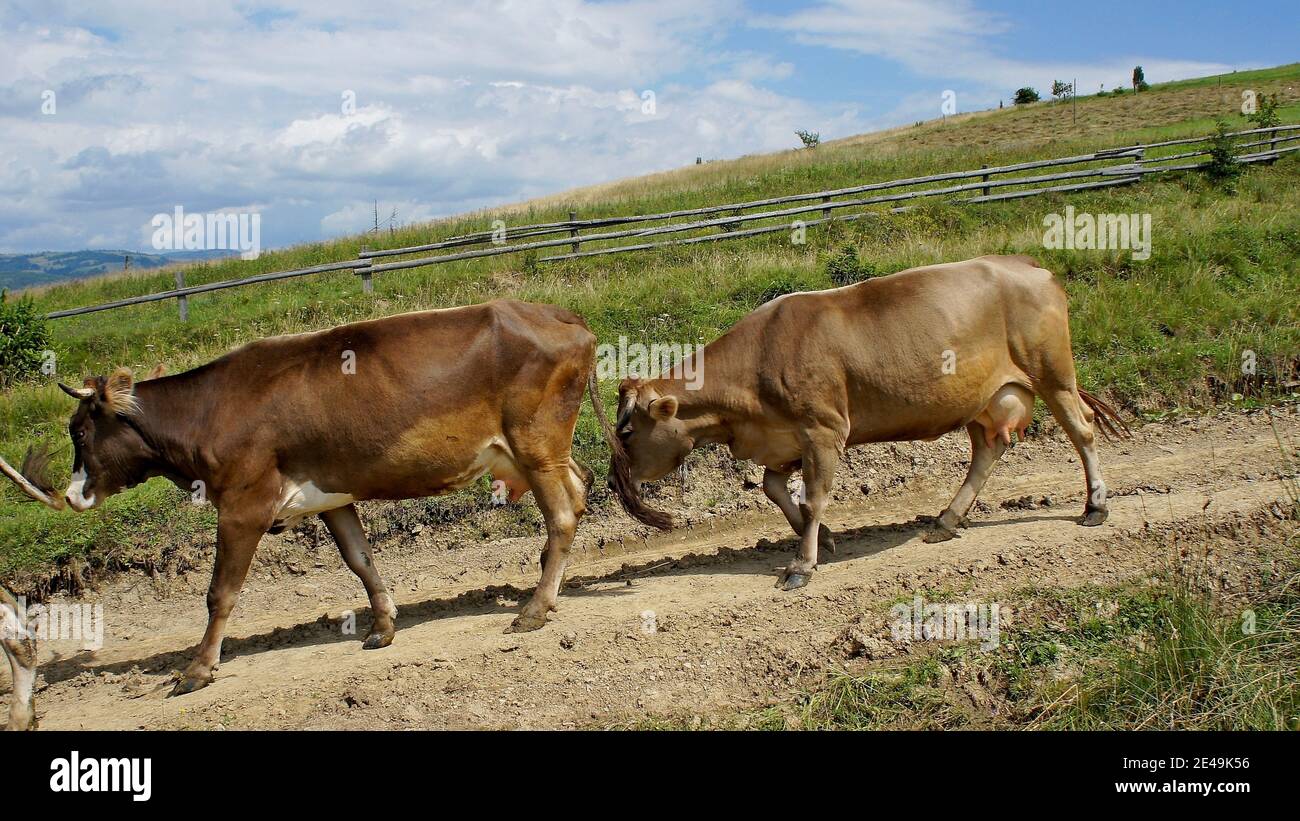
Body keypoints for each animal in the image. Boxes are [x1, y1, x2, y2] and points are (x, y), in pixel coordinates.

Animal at [0, 299, 652, 696]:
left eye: (81, 433)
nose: (72, 495)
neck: (210, 411)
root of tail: (561, 316)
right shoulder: (331, 495)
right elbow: (361, 561)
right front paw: (383, 626)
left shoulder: (243, 504)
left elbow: (219, 593)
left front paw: (197, 669)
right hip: (533, 451)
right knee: (580, 491)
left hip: (535, 443)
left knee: (563, 512)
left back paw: (535, 609)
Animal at [605, 255, 1129, 590]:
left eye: (626, 432)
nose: (611, 483)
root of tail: (1030, 266)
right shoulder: (783, 437)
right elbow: (775, 489)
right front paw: (823, 538)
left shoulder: (823, 429)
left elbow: (812, 498)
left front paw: (802, 565)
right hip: (984, 399)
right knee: (988, 450)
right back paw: (946, 519)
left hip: (1052, 372)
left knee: (1081, 429)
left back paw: (1095, 505)